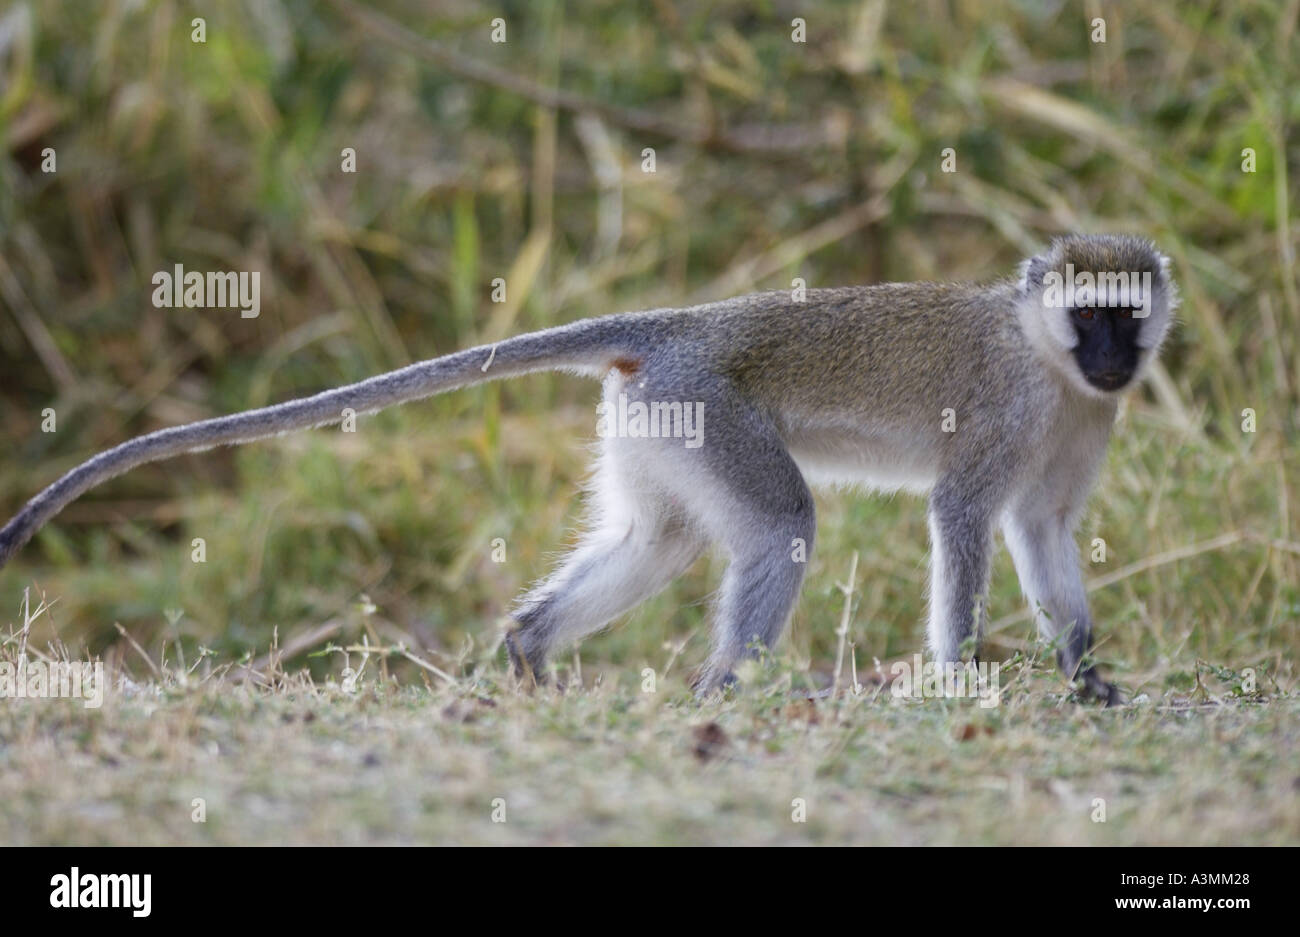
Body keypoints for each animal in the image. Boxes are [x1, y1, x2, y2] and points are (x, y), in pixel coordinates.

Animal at [0, 234, 1175, 703]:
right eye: (1089, 316)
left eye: (1126, 318)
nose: (1115, 360)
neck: (1047, 360)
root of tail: (675, 328)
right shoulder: (1010, 409)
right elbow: (965, 514)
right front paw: (959, 675)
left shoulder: (1083, 423)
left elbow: (1043, 531)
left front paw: (1083, 674)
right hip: (707, 409)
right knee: (782, 525)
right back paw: (724, 692)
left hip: (659, 424)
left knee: (661, 537)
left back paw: (531, 653)